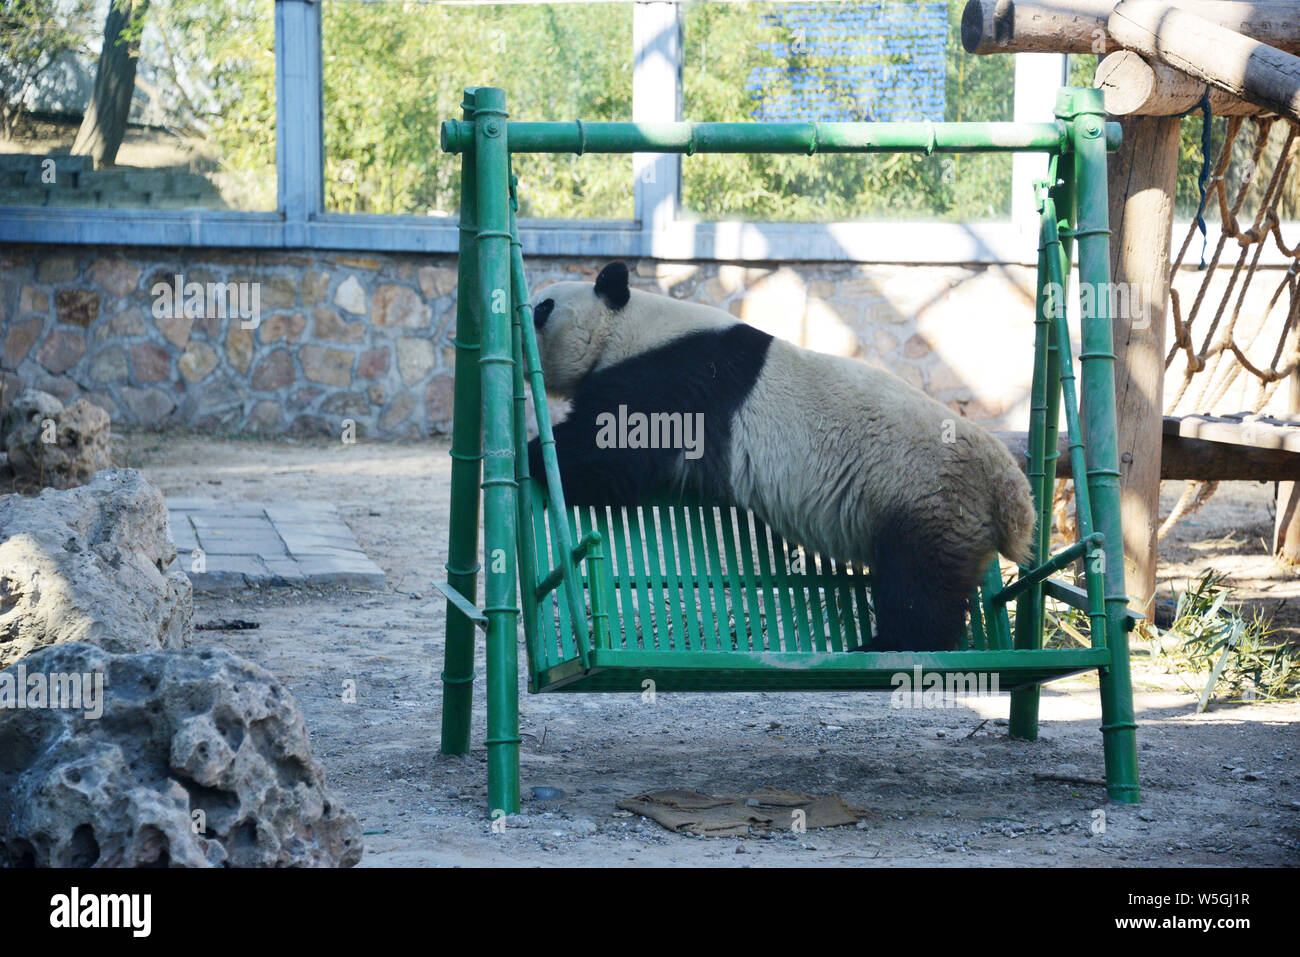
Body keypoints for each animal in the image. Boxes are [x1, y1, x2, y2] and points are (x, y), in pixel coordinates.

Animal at [526, 261, 1036, 652]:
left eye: (542, 308)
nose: (524, 315)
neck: (628, 325)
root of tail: (1009, 490)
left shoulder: (671, 378)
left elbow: (612, 459)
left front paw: (535, 453)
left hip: (926, 492)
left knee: (919, 581)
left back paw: (891, 644)